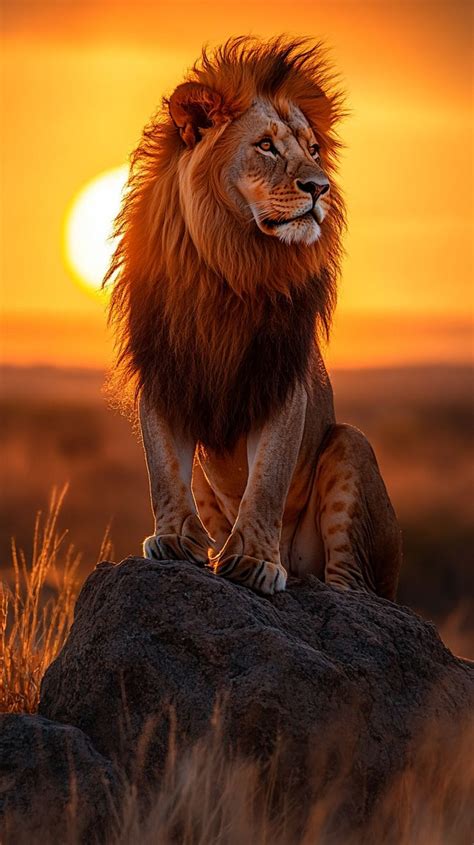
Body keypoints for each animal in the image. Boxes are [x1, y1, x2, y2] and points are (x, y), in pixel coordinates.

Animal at [105, 36, 402, 597]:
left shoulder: (281, 379)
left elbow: (267, 477)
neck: (229, 266)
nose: (320, 187)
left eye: (313, 150)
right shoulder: (164, 370)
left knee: (352, 583)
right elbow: (163, 468)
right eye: (265, 146)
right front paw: (173, 540)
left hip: (350, 444)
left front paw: (254, 560)